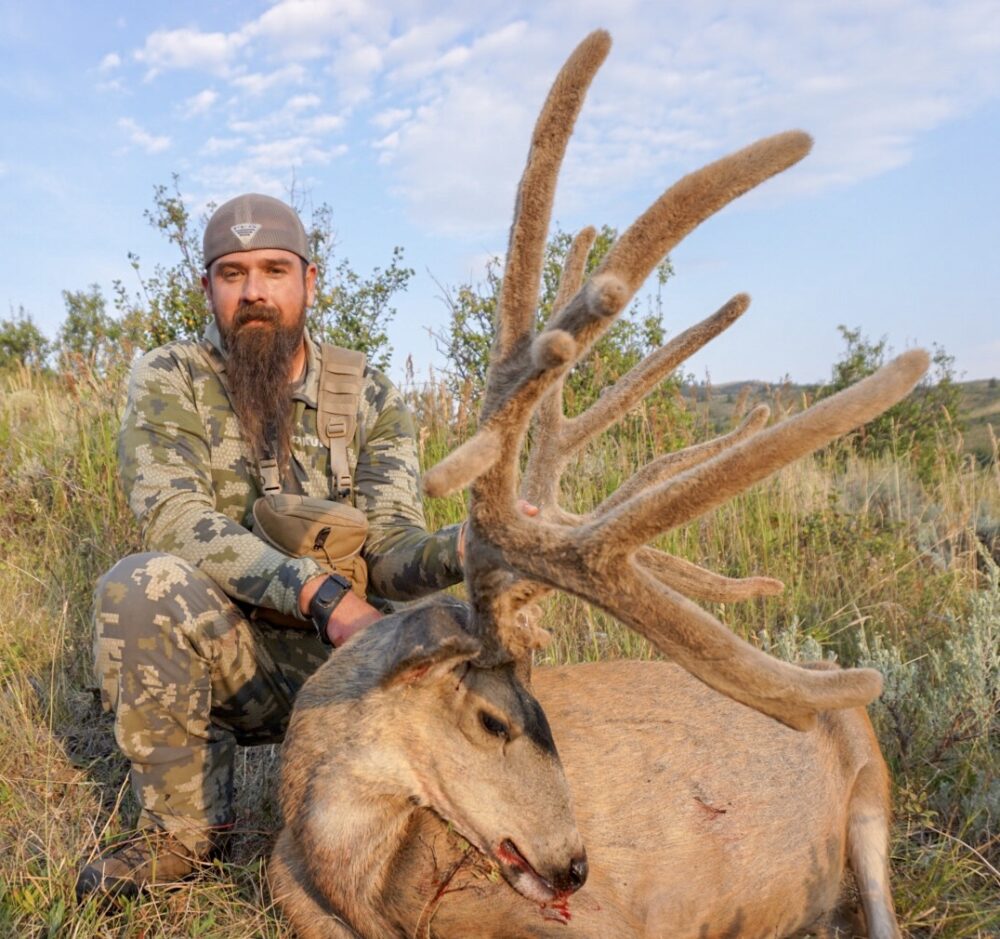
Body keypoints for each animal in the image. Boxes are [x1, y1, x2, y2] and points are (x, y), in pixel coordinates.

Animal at [269, 30, 924, 939]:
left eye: (541, 708)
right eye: (492, 718)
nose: (575, 862)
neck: (366, 885)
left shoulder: (614, 919)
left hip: (869, 786)